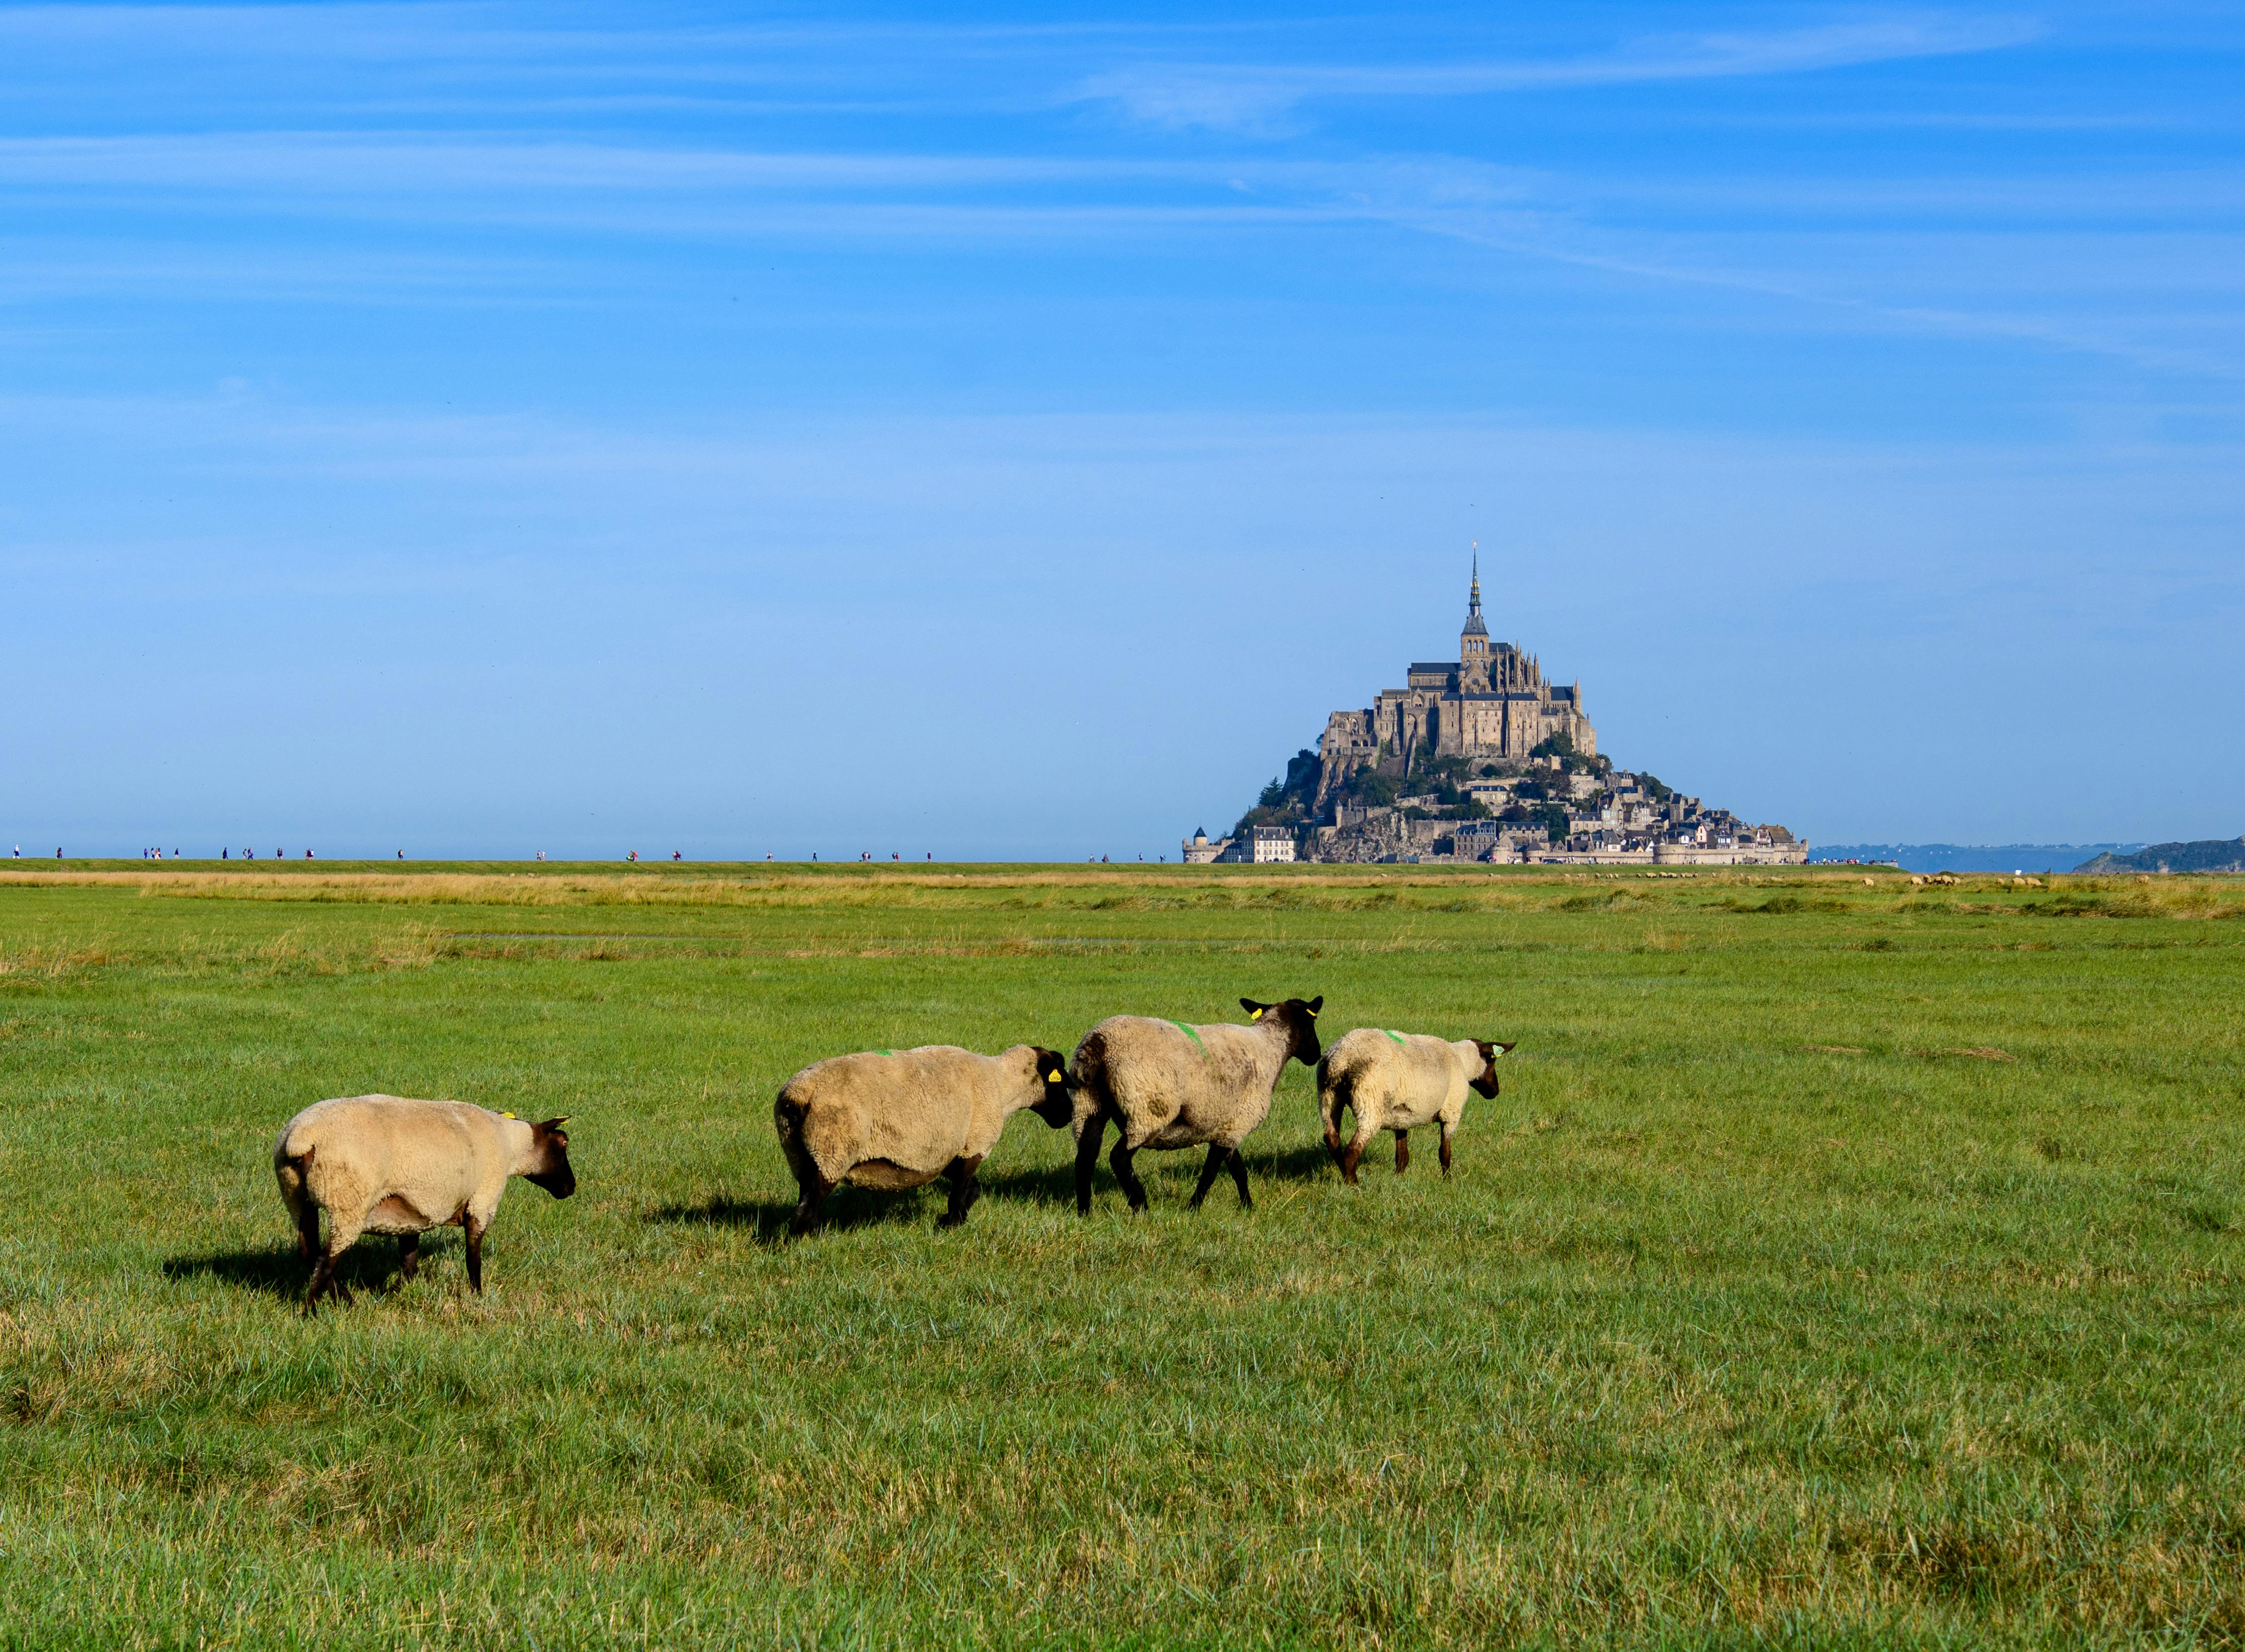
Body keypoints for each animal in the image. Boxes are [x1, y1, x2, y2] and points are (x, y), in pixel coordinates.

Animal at [272, 1095, 575, 1313]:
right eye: (563, 1143)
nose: (571, 1188)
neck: (510, 1146)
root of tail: (300, 1138)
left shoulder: (411, 1213)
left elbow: (410, 1264)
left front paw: (394, 1294)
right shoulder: (482, 1201)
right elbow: (473, 1259)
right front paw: (477, 1297)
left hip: (297, 1197)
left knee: (308, 1251)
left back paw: (348, 1301)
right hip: (348, 1202)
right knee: (325, 1260)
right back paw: (311, 1312)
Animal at [773, 1044, 1073, 1235]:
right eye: (1057, 1081)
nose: (1069, 1114)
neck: (1003, 1086)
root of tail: (797, 1096)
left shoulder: (950, 1153)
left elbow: (971, 1189)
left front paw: (956, 1217)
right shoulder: (973, 1146)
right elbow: (958, 1193)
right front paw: (950, 1225)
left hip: (801, 1154)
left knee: (807, 1200)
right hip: (832, 1149)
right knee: (805, 1212)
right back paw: (804, 1246)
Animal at [1069, 996, 1323, 1214]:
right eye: (1312, 1023)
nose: (1317, 1055)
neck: (1271, 1048)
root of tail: (1098, 1044)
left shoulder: (1227, 1125)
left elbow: (1239, 1171)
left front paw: (1248, 1206)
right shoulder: (1239, 1121)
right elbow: (1210, 1173)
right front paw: (1194, 1208)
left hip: (1088, 1105)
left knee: (1085, 1159)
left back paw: (1085, 1213)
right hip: (1145, 1110)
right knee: (1119, 1158)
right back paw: (1141, 1207)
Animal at [1316, 1029, 1514, 1184]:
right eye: (1492, 1062)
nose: (1495, 1091)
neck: (1464, 1063)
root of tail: (1341, 1058)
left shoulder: (1401, 1116)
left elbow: (1402, 1155)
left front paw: (1398, 1178)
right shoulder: (1452, 1111)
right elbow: (1445, 1152)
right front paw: (1447, 1180)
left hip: (1329, 1095)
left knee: (1331, 1137)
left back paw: (1343, 1170)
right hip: (1371, 1102)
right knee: (1352, 1149)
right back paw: (1353, 1183)